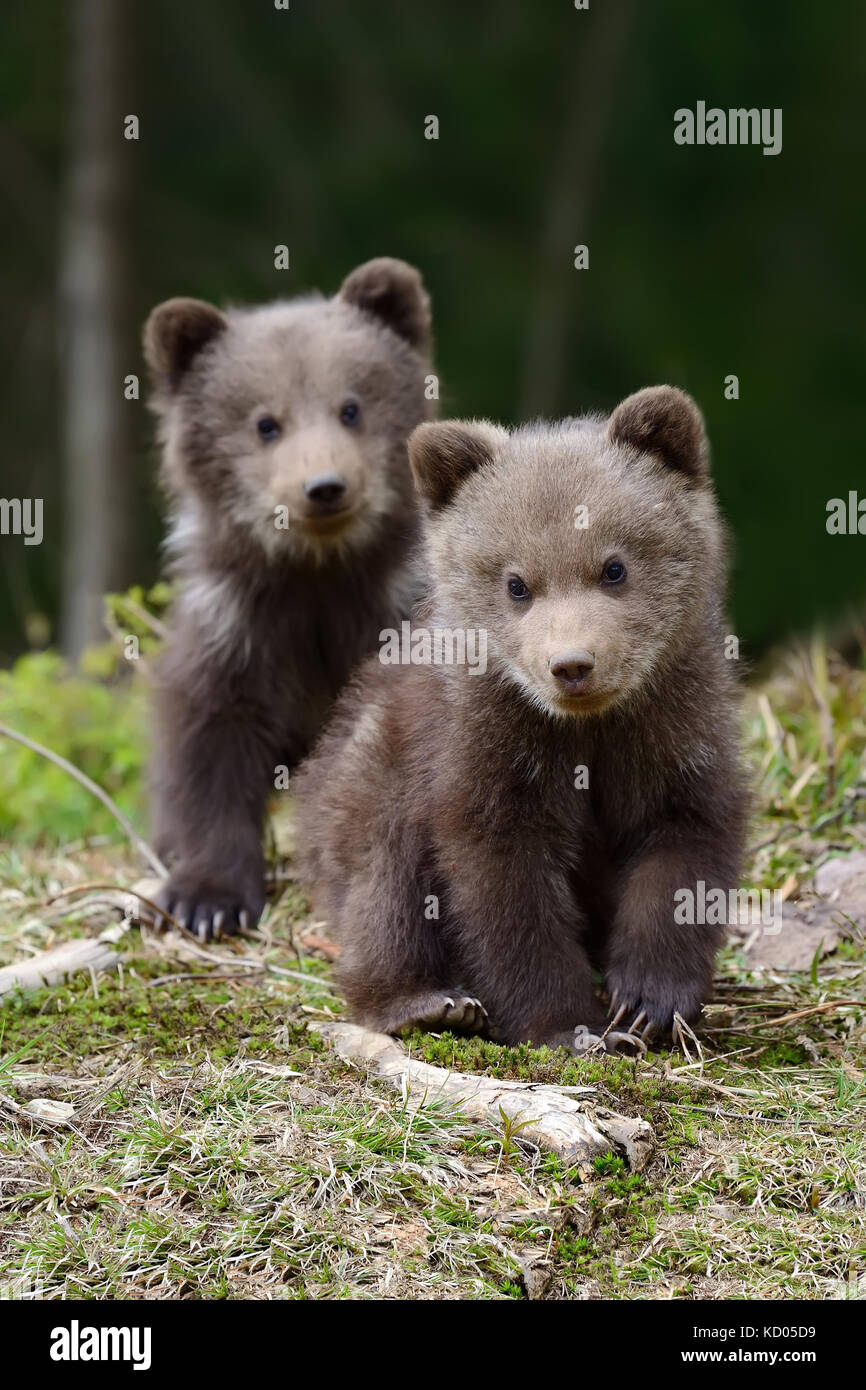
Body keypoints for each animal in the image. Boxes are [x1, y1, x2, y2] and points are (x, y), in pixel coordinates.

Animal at [144, 257, 435, 940]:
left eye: (351, 407)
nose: (324, 487)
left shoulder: (394, 613)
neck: (316, 575)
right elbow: (208, 748)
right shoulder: (236, 627)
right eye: (265, 422)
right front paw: (207, 899)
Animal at [294, 386, 748, 1052]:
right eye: (516, 583)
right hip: (367, 782)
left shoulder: (674, 722)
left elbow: (682, 844)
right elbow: (505, 880)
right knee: (386, 882)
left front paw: (647, 1003)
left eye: (614, 567)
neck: (588, 725)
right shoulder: (488, 741)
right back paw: (425, 1002)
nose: (572, 665)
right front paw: (568, 1024)